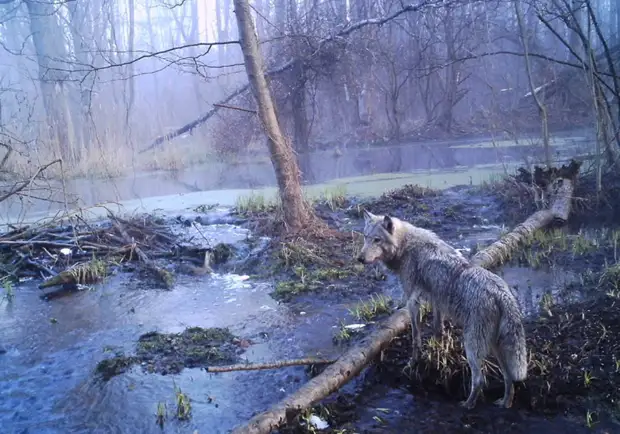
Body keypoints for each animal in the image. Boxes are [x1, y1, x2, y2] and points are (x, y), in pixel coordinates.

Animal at [356, 210, 524, 410]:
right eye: (365, 237)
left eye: (377, 240)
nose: (359, 259)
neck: (406, 246)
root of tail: (501, 294)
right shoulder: (436, 300)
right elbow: (438, 329)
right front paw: (437, 353)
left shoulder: (413, 302)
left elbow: (416, 338)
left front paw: (413, 363)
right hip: (495, 347)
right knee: (508, 378)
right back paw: (505, 403)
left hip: (472, 347)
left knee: (479, 380)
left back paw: (467, 405)